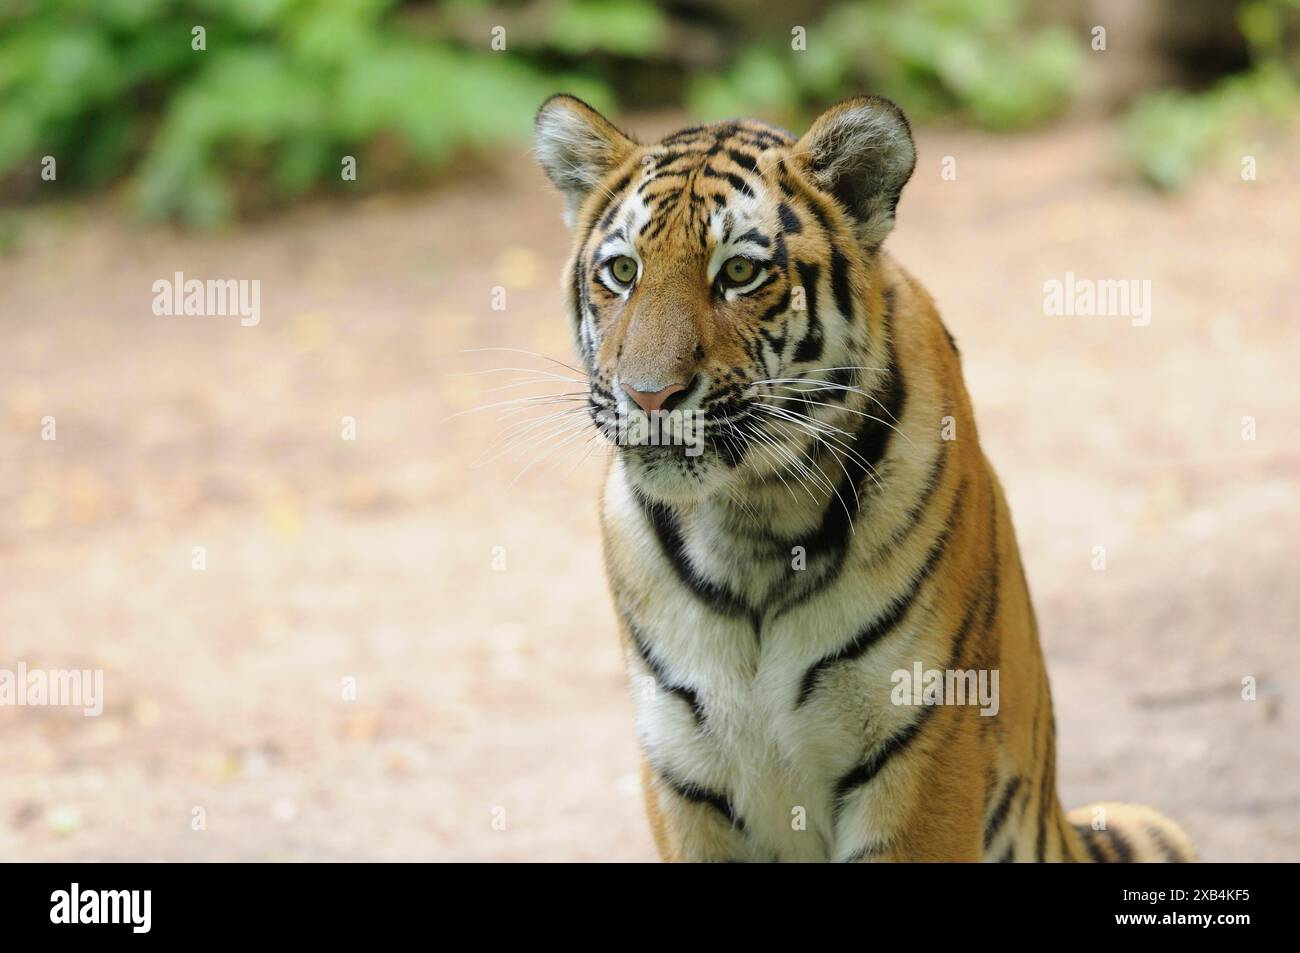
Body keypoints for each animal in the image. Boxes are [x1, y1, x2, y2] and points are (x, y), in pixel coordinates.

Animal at [532, 93, 1194, 863]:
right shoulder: (682, 772)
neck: (750, 520)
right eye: (622, 271)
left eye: (739, 273)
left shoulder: (920, 751)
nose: (647, 396)